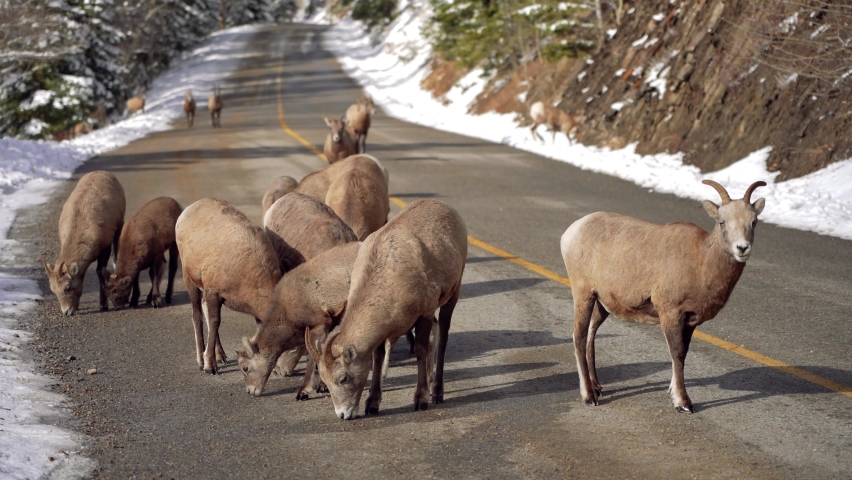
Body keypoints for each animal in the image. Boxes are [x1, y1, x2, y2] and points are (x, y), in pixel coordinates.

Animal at [42, 171, 125, 315]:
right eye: (53, 290)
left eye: (68, 287)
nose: (66, 312)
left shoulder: (105, 246)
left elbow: (100, 271)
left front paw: (103, 305)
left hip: (120, 224)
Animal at [175, 198, 281, 373]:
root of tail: (189, 209)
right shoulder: (214, 293)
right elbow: (214, 322)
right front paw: (210, 366)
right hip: (189, 280)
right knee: (197, 316)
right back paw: (201, 360)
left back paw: (221, 356)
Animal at [307, 199, 467, 420]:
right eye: (325, 381)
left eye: (343, 379)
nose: (343, 414)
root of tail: (446, 208)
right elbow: (378, 356)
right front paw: (372, 404)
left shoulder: (424, 313)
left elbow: (420, 350)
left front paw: (421, 399)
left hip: (454, 293)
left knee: (442, 337)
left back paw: (437, 393)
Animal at [560, 180, 766, 413]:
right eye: (722, 222)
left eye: (754, 222)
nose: (742, 248)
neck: (701, 261)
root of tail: (572, 231)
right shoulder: (670, 313)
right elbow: (676, 354)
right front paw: (683, 403)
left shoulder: (690, 321)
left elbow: (683, 355)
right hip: (583, 294)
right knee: (579, 337)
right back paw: (589, 396)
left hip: (602, 304)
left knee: (591, 335)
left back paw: (597, 387)